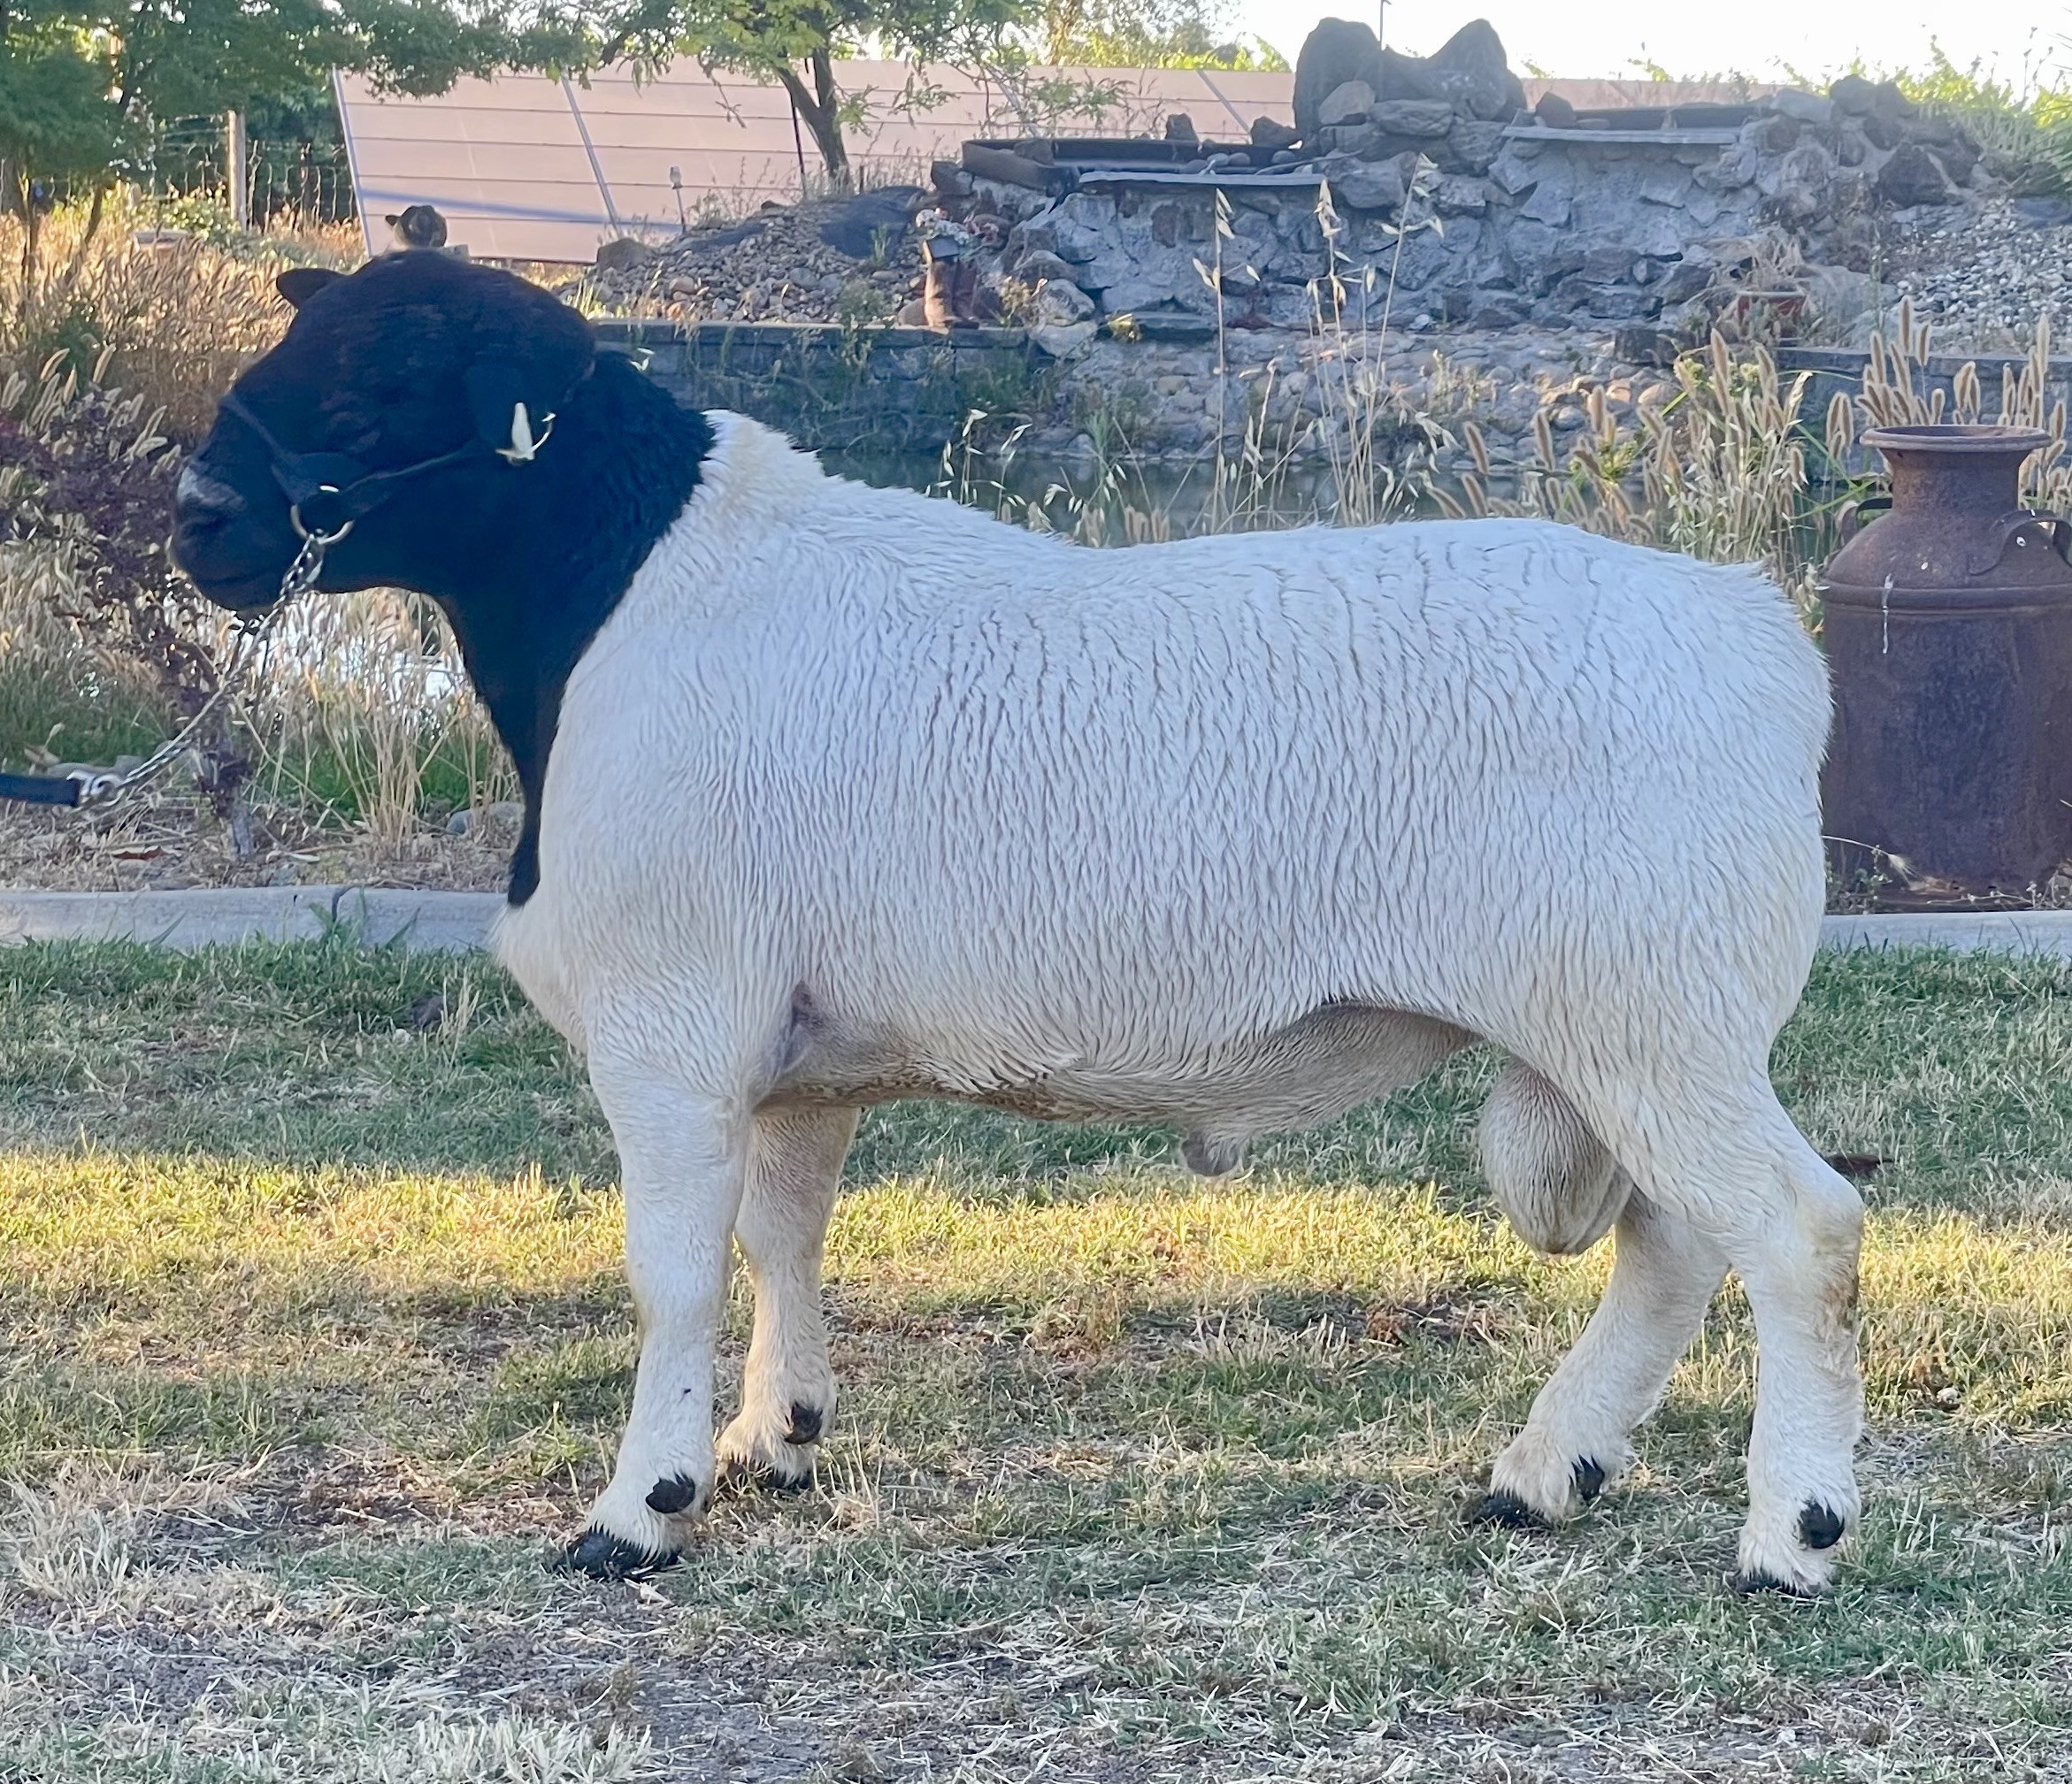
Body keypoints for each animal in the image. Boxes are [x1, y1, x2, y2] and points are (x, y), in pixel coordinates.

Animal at [171, 251, 1864, 1596]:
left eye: (381, 387)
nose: (197, 522)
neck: (626, 592)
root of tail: (1758, 635)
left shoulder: (671, 1023)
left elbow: (674, 1270)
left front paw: (639, 1507)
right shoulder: (791, 1056)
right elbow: (783, 1236)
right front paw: (776, 1434)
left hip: (1645, 1010)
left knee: (1798, 1233)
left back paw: (1790, 1536)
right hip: (1637, 1024)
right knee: (1671, 1247)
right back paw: (1544, 1475)